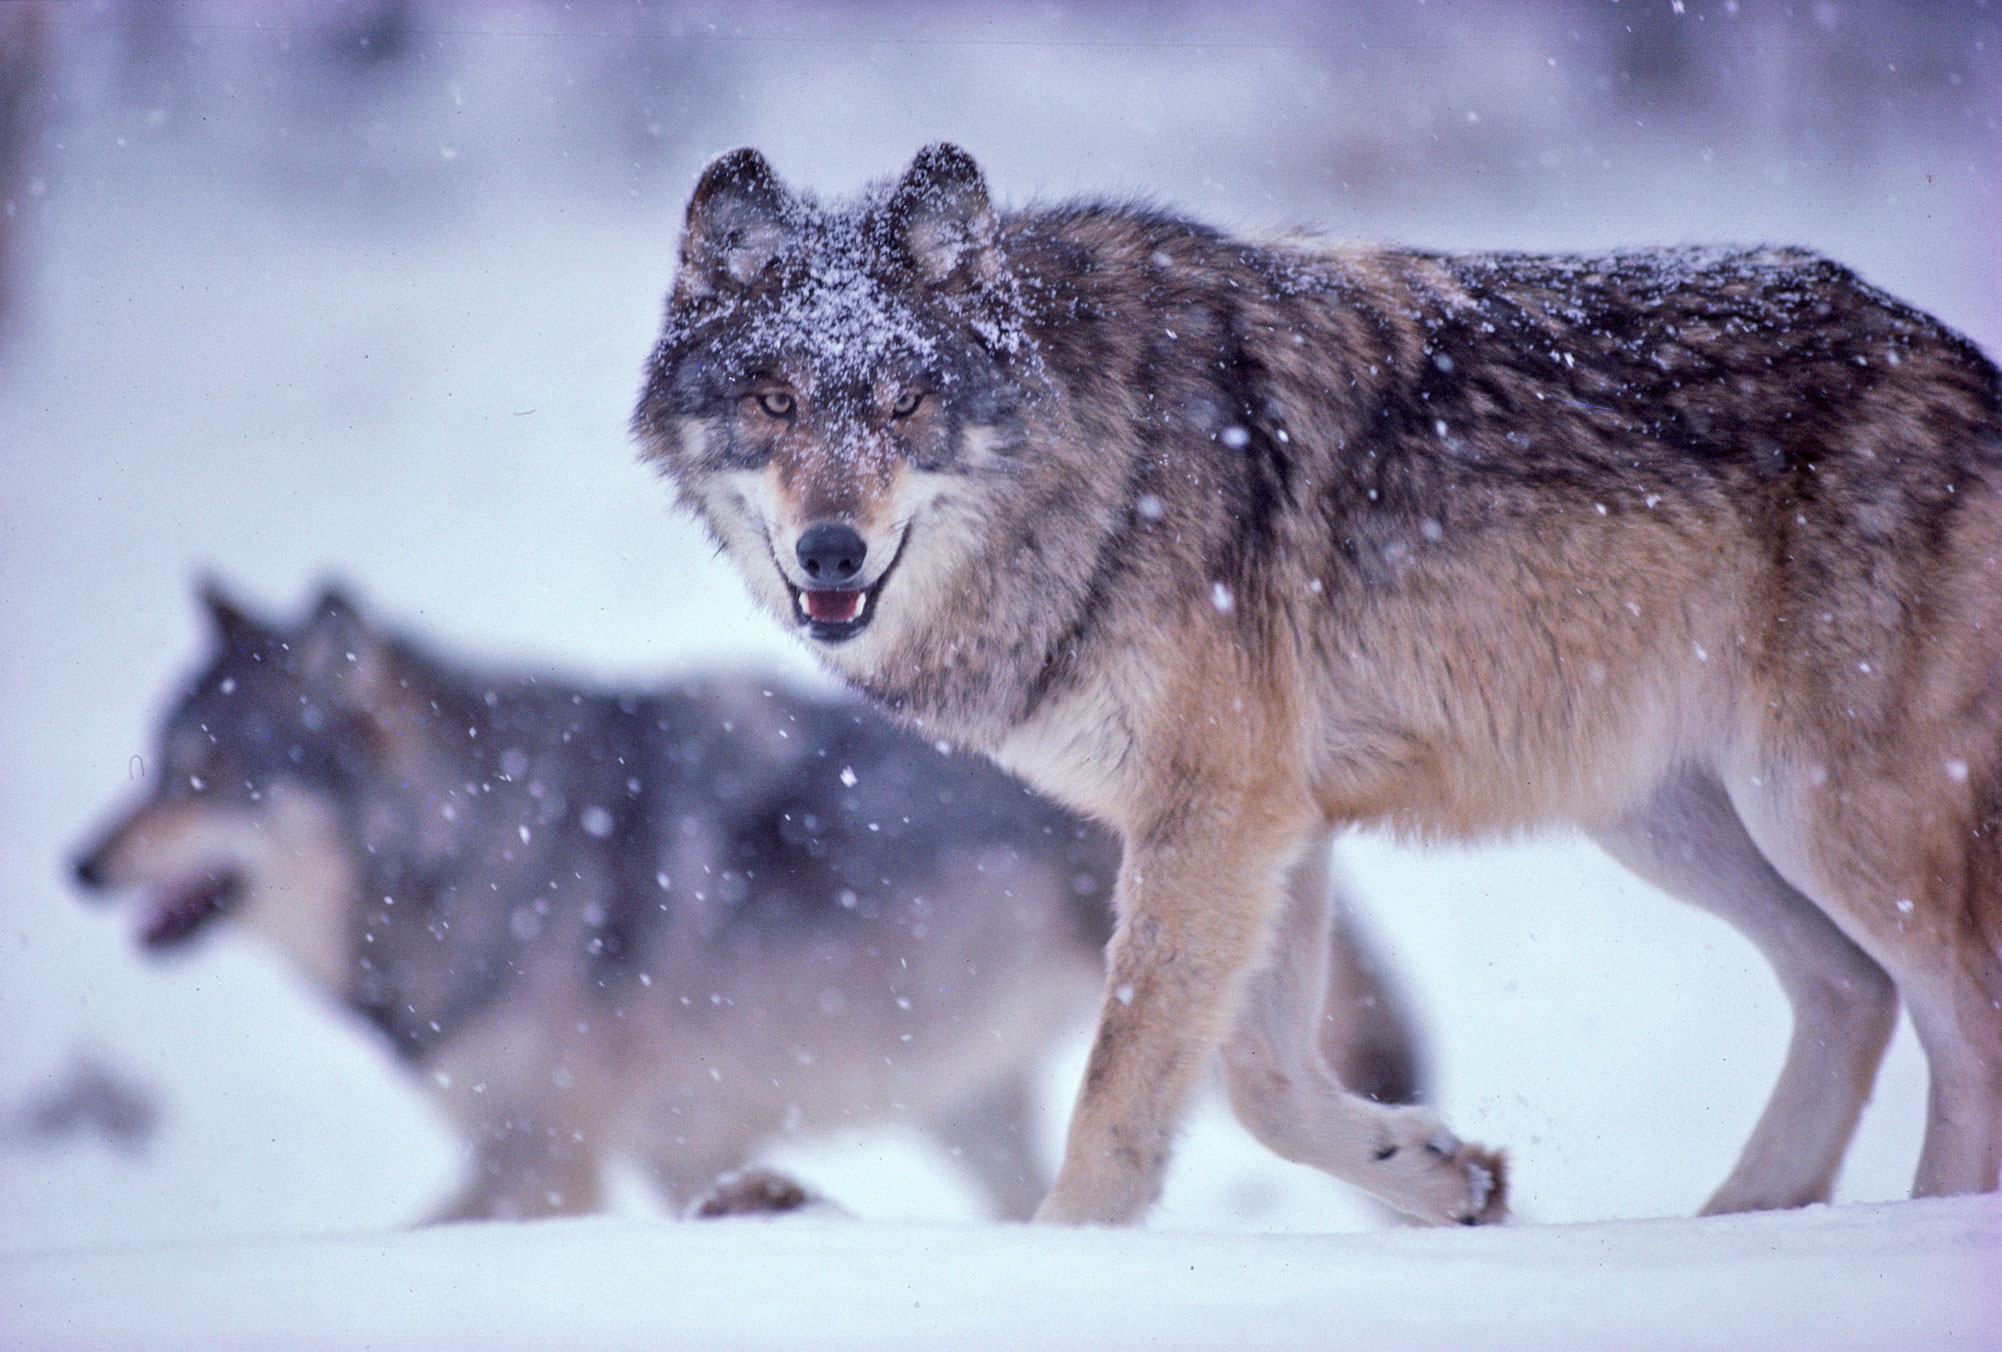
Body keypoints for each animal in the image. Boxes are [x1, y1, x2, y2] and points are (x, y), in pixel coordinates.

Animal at [72, 581, 1422, 1222]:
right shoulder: (676, 1146)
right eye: (157, 759)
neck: (488, 842)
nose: (77, 865)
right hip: (966, 1104)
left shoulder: (543, 1163)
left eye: (213, 774)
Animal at [633, 143, 2002, 1226]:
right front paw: (1442, 1173)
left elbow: (1124, 1093)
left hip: (1827, 814)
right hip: (1665, 815)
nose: (830, 551)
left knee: (1961, 1017)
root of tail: (1961, 357)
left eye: (904, 400)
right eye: (775, 399)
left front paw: (1063, 1259)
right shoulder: (1258, 821)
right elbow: (1259, 1084)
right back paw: (1743, 1221)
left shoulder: (1220, 813)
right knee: (1848, 989)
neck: (1100, 461)